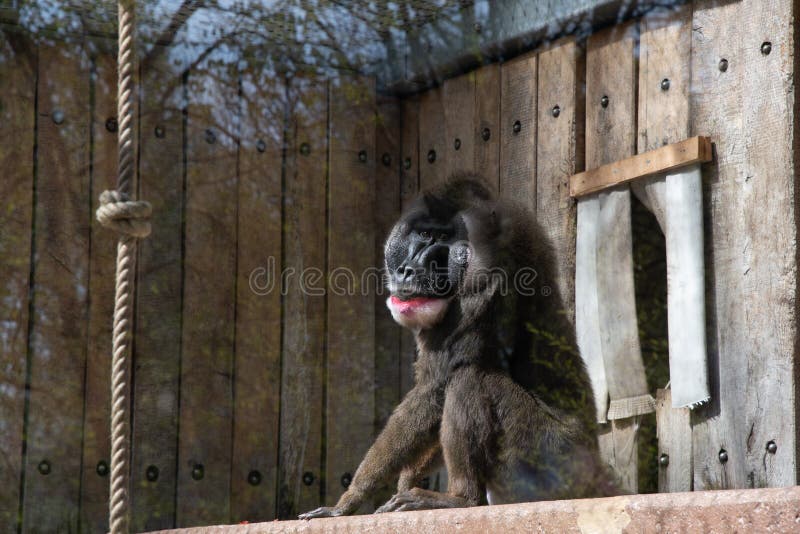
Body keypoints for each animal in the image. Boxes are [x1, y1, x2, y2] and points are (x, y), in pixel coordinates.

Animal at [299, 174, 613, 519]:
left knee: (469, 379)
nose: (407, 269)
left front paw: (346, 502)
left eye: (443, 239)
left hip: (546, 458)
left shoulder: (484, 280)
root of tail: (593, 469)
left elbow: (433, 391)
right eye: (424, 234)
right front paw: (404, 481)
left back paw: (460, 498)